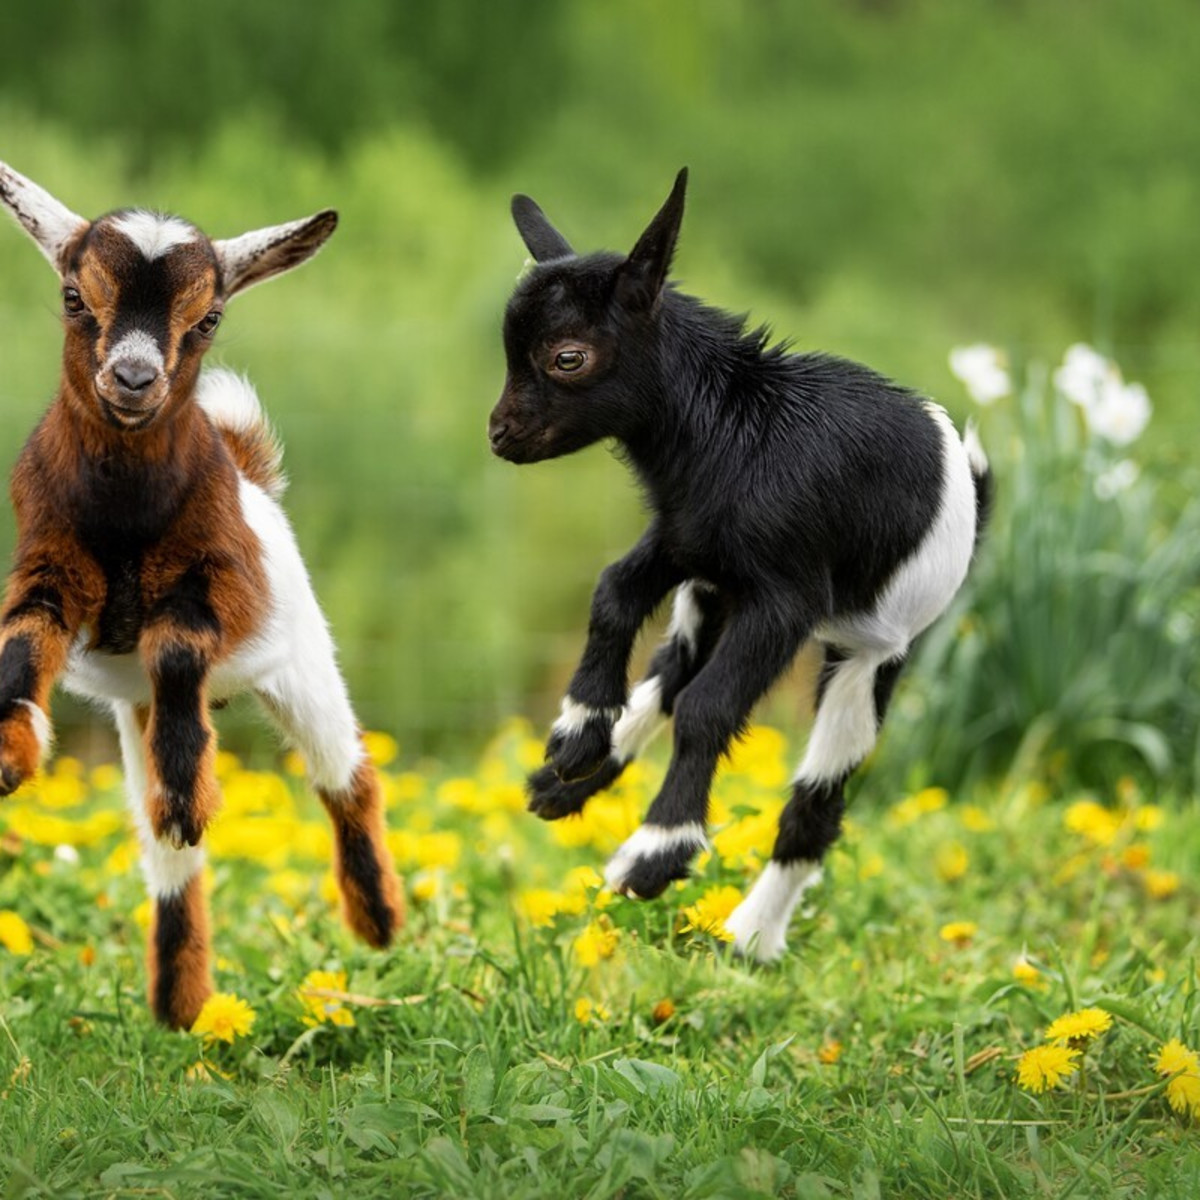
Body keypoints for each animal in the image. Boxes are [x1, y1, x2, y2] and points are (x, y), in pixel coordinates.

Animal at [0, 161, 403, 1026]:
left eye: (210, 316)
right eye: (74, 295)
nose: (133, 379)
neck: (126, 511)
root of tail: (248, 468)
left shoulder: (222, 582)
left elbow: (177, 642)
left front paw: (191, 795)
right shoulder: (49, 565)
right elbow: (23, 640)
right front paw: (11, 754)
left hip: (304, 665)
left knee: (346, 774)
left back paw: (379, 921)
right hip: (132, 716)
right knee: (168, 859)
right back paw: (180, 1005)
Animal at [489, 169, 991, 961]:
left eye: (567, 356)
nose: (500, 434)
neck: (737, 429)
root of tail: (973, 490)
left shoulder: (785, 598)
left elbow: (710, 709)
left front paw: (654, 857)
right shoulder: (685, 542)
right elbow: (612, 593)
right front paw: (575, 732)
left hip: (867, 654)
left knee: (813, 802)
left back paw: (751, 937)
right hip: (710, 597)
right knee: (667, 678)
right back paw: (566, 783)